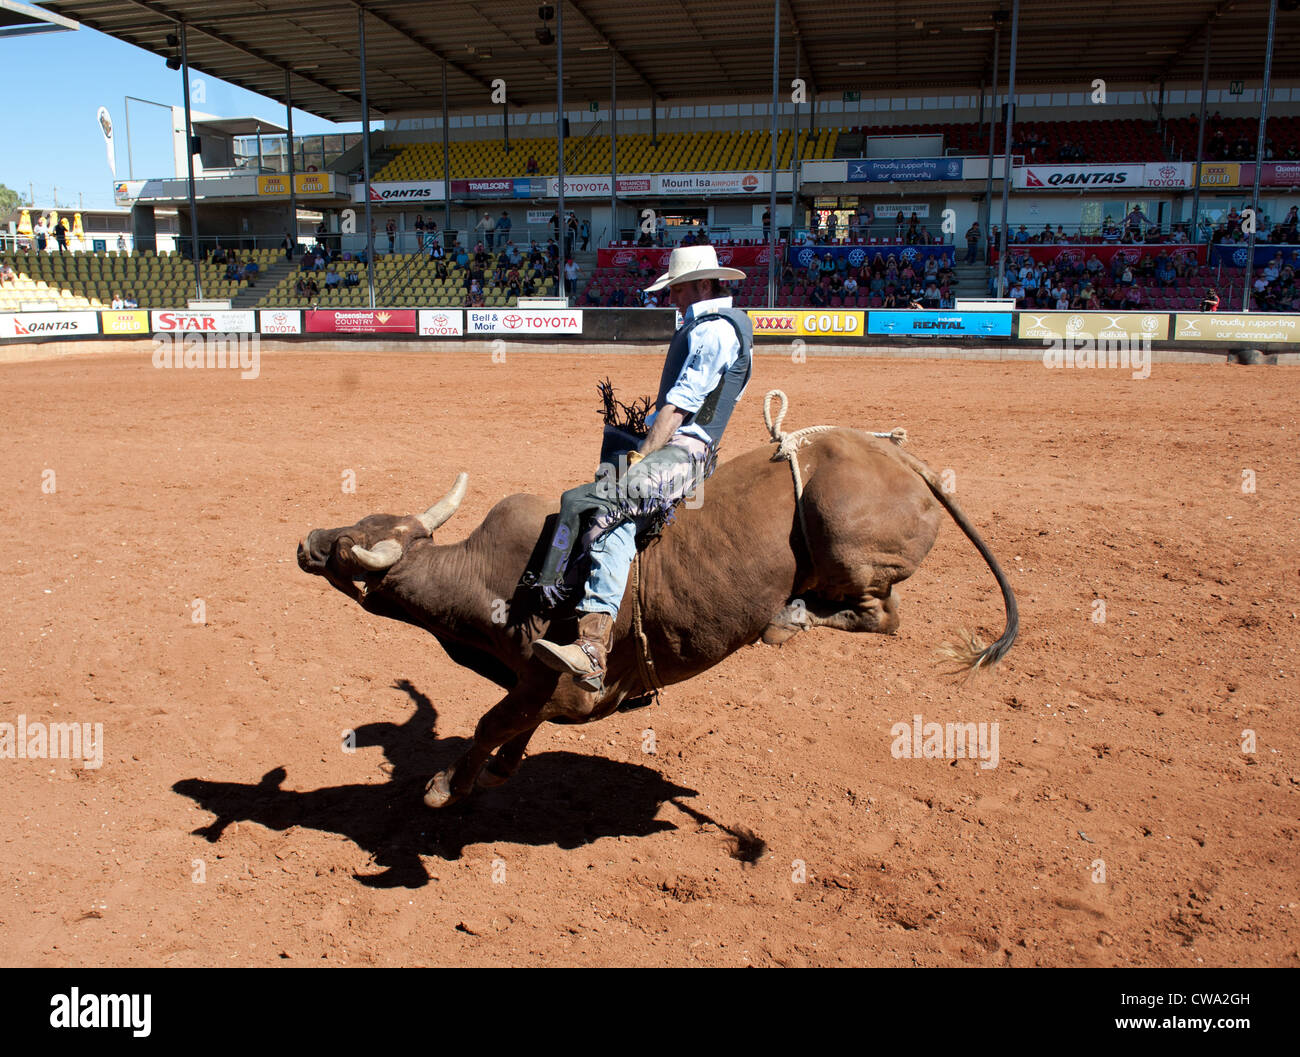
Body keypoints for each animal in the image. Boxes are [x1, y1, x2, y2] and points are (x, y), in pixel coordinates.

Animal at [296, 427, 1017, 809]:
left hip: (844, 536)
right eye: (363, 521)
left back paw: (790, 617)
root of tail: (892, 452)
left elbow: (493, 722)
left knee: (882, 612)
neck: (486, 578)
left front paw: (448, 784)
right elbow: (515, 725)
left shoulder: (554, 680)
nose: (308, 539)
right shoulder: (541, 688)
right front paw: (498, 768)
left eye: (346, 549)